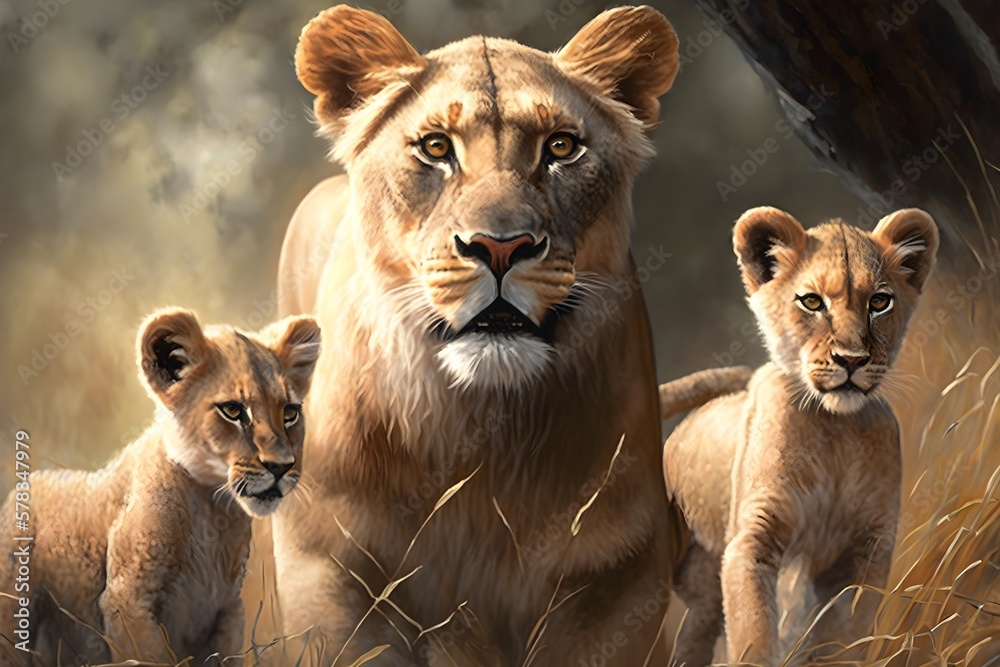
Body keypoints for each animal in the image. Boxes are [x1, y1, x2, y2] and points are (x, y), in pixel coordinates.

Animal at [0, 308, 320, 665]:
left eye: (290, 413)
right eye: (233, 410)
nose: (281, 466)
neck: (210, 512)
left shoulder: (228, 610)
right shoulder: (128, 601)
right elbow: (151, 656)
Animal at [273, 5, 686, 664]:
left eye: (561, 146)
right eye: (436, 147)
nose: (499, 247)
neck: (483, 430)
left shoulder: (617, 573)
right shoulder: (326, 561)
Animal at [660, 207, 939, 665]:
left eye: (879, 302)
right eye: (812, 301)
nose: (851, 359)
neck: (835, 429)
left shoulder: (867, 551)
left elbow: (842, 636)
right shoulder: (754, 537)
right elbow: (754, 632)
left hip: (703, 592)